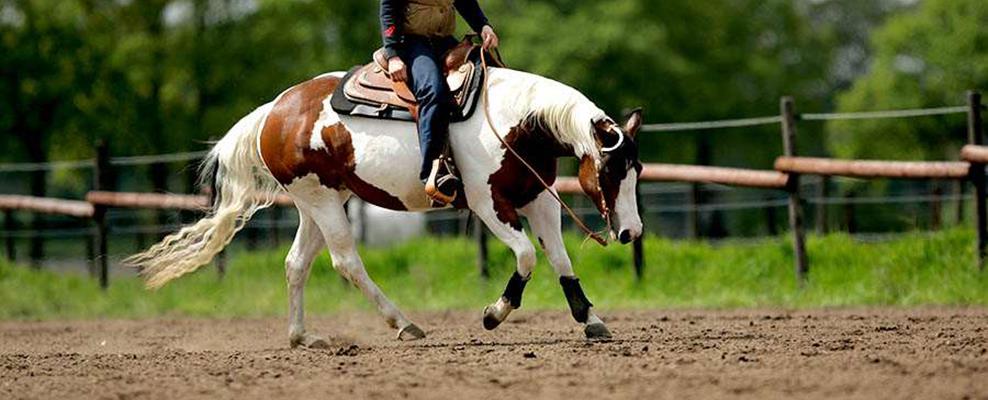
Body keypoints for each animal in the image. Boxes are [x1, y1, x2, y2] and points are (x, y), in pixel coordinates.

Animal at [125, 66, 644, 348]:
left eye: (636, 170)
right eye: (611, 170)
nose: (631, 233)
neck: (516, 119)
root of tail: (273, 109)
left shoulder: (537, 198)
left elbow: (560, 260)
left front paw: (592, 321)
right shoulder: (488, 203)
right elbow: (527, 256)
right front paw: (494, 313)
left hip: (318, 202)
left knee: (296, 264)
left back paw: (302, 337)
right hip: (322, 202)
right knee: (346, 262)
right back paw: (404, 323)